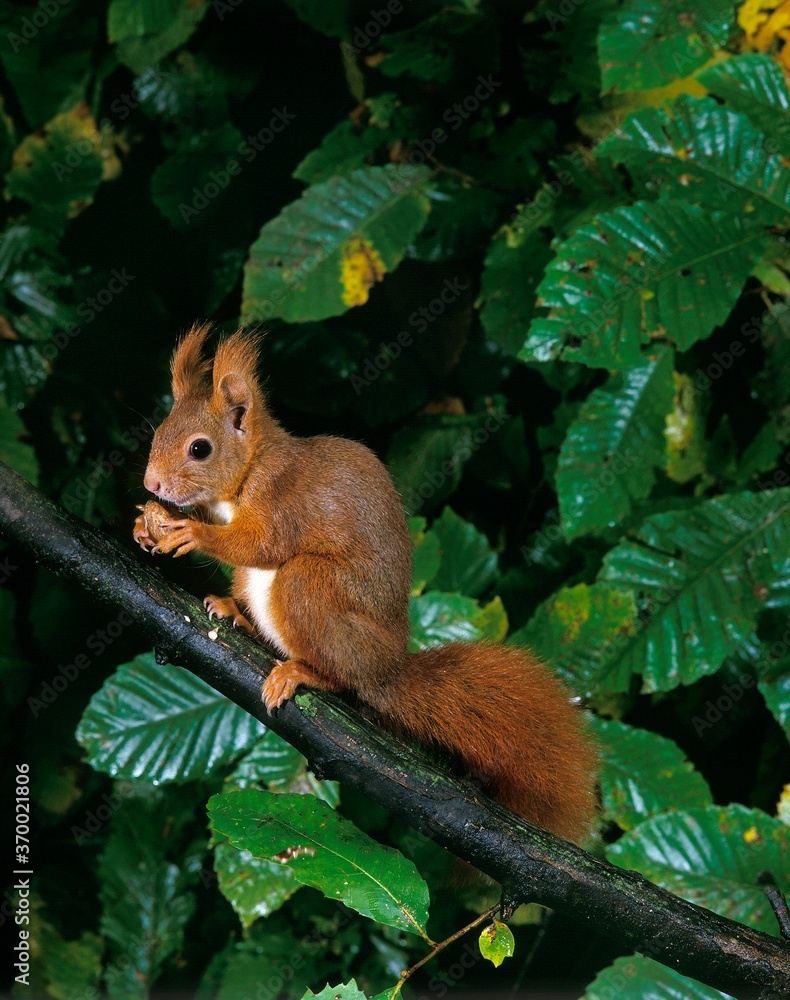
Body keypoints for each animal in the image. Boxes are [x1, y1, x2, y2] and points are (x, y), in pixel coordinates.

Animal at [133, 323, 598, 845]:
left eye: (200, 448)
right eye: (158, 432)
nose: (152, 485)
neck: (251, 465)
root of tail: (386, 669)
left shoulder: (283, 499)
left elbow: (262, 544)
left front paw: (191, 533)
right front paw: (145, 527)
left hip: (314, 592)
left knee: (339, 671)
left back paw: (302, 673)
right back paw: (238, 614)